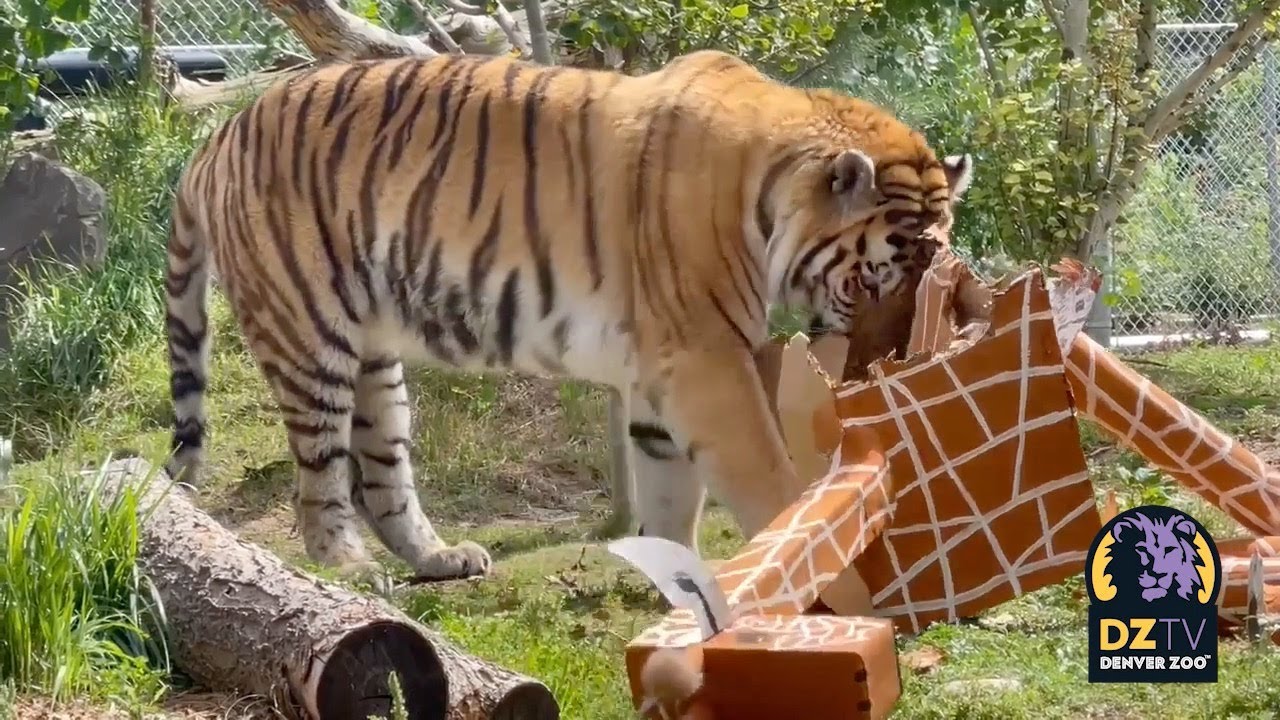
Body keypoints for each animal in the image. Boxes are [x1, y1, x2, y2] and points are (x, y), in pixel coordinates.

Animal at [163, 48, 975, 583]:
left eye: (931, 268)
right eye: (881, 275)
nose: (892, 354)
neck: (764, 194)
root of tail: (214, 140)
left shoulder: (661, 375)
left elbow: (670, 493)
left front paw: (681, 584)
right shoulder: (707, 359)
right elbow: (764, 472)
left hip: (374, 360)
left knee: (381, 472)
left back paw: (441, 558)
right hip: (309, 338)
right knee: (323, 475)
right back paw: (346, 568)